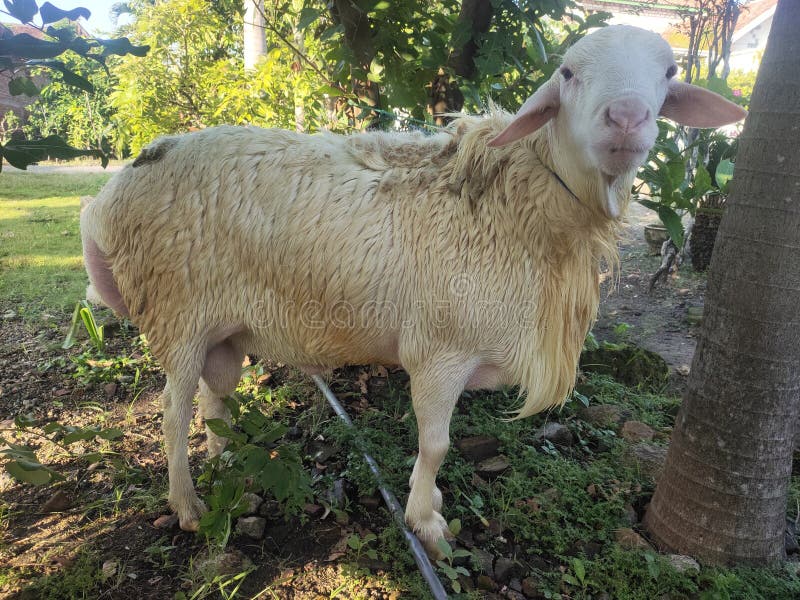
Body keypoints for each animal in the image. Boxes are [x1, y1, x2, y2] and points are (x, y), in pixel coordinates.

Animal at [80, 25, 746, 555]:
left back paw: (228, 469)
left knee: (214, 402)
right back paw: (189, 506)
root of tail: (107, 196)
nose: (627, 119)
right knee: (172, 414)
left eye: (668, 74)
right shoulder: (439, 352)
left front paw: (429, 508)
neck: (519, 209)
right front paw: (426, 521)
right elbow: (436, 446)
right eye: (568, 72)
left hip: (224, 328)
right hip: (176, 310)